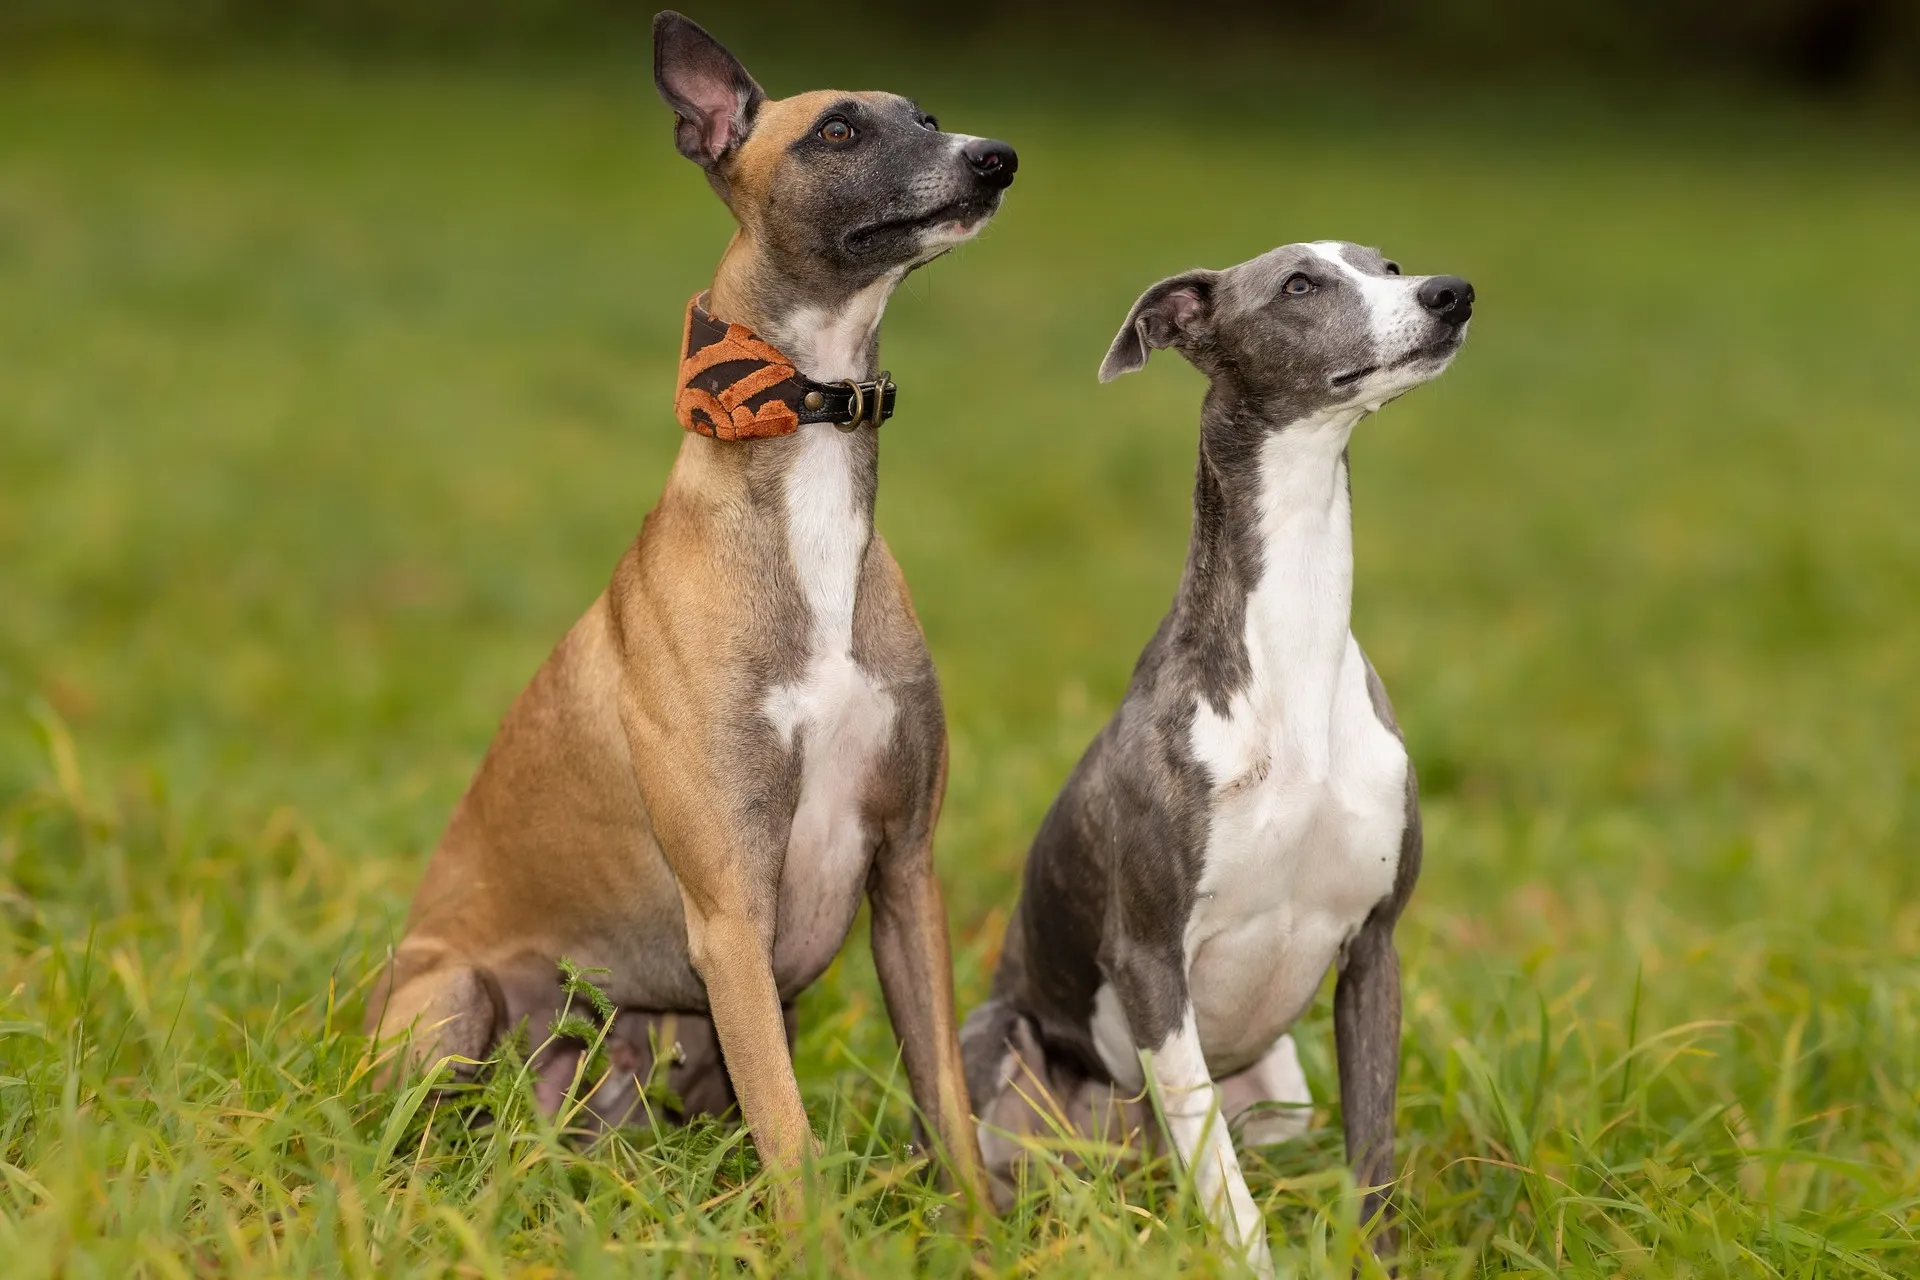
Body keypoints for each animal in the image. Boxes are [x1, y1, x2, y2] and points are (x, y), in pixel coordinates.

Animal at [362, 7, 1021, 1220]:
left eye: (929, 116)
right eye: (840, 129)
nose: (995, 157)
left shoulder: (907, 878)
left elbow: (944, 1098)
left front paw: (982, 1232)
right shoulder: (728, 917)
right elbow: (794, 1143)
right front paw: (821, 1243)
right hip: (452, 1005)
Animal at [960, 239, 1466, 1274]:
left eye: (1388, 264)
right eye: (1300, 285)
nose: (1452, 294)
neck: (1294, 656)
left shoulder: (1375, 949)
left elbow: (1374, 1152)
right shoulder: (1151, 962)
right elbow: (1225, 1186)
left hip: (1281, 1090)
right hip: (993, 1046)